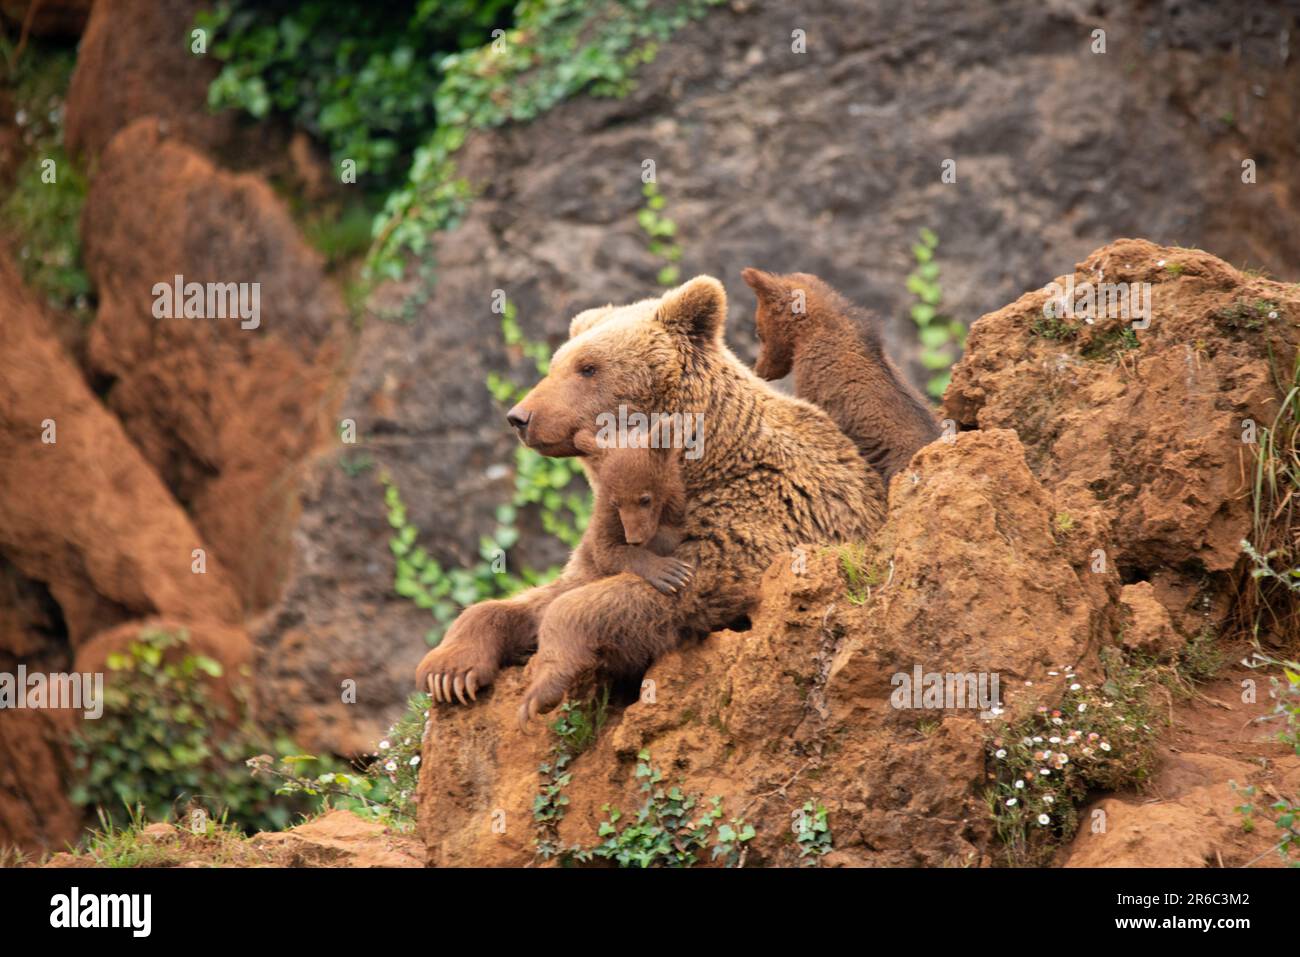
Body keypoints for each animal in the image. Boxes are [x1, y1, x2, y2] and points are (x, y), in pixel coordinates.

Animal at [572, 426, 695, 596]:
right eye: (616, 502)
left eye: (645, 499)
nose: (634, 539)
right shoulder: (606, 513)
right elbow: (606, 552)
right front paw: (670, 573)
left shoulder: (674, 502)